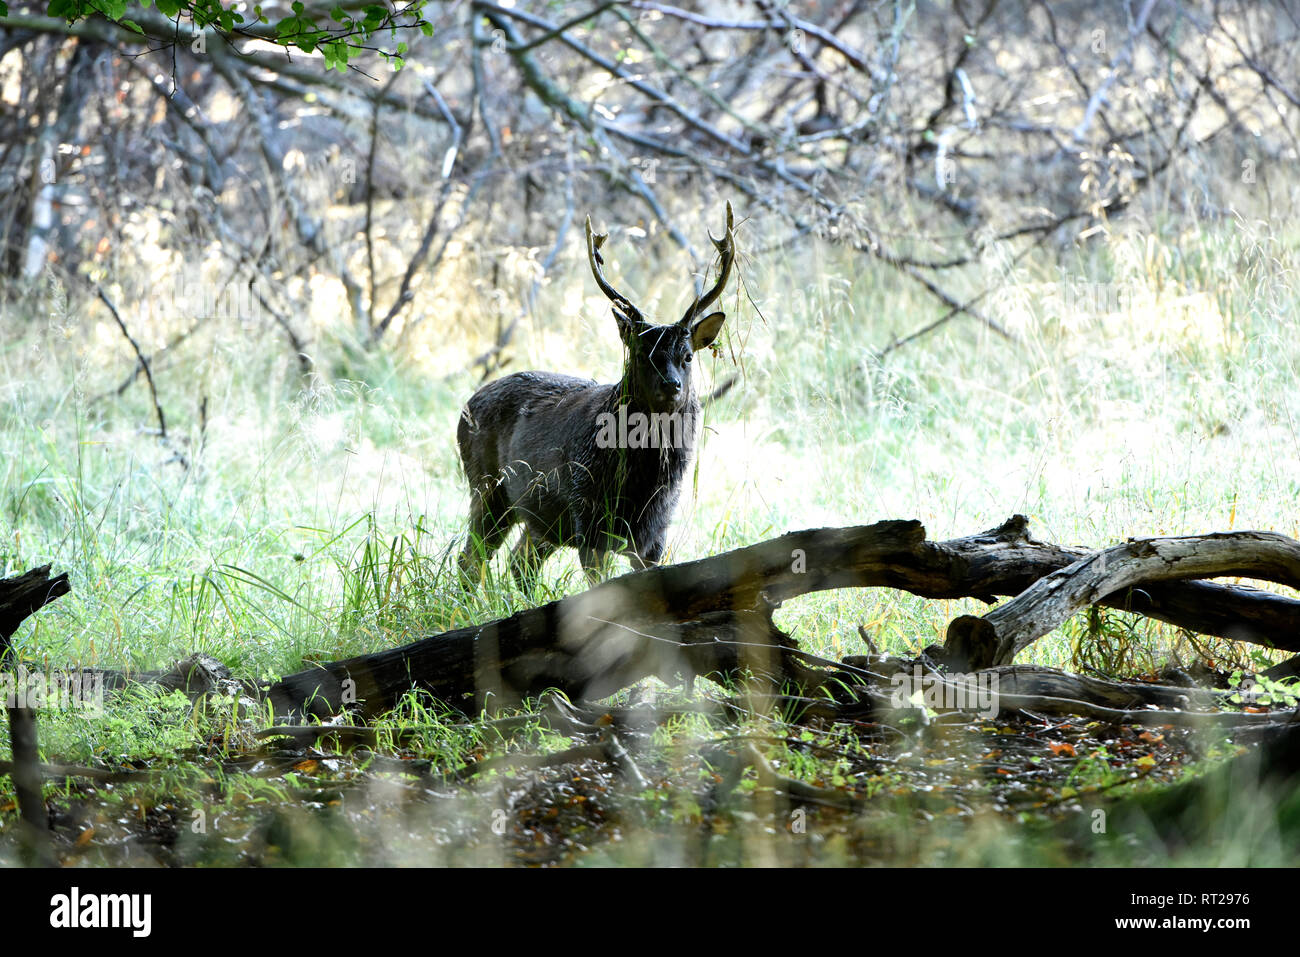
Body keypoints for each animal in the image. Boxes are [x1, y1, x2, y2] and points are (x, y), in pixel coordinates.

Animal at [457, 203, 736, 587]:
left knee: (519, 563)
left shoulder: (655, 534)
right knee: (471, 561)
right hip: (487, 487)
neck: (642, 484)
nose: (672, 385)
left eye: (688, 356)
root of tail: (466, 406)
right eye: (639, 353)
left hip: (542, 516)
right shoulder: (588, 516)